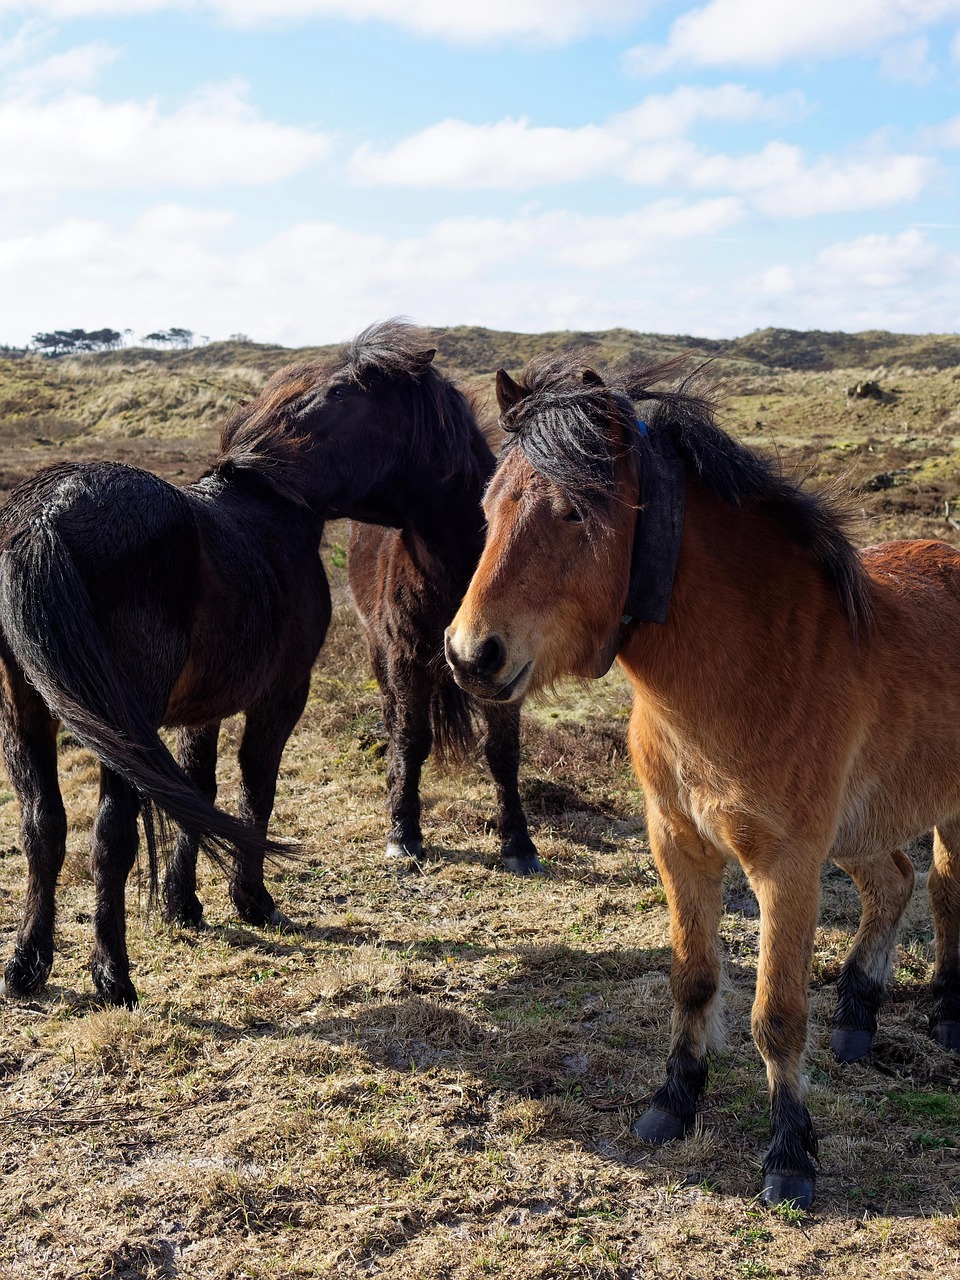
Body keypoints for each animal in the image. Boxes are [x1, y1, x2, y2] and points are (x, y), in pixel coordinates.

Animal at [340, 322, 539, 872]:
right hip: (379, 651)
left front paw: (519, 842)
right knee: (395, 719)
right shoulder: (407, 656)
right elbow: (412, 739)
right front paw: (403, 833)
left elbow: (502, 750)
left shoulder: (502, 661)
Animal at [444, 353, 960, 1209]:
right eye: (488, 509)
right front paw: (673, 1103)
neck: (752, 663)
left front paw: (790, 1156)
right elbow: (693, 979)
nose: (470, 654)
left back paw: (948, 1008)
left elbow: (776, 1014)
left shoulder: (786, 866)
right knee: (894, 880)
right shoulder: (679, 845)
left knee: (945, 888)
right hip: (864, 823)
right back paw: (857, 1017)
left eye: (575, 514)